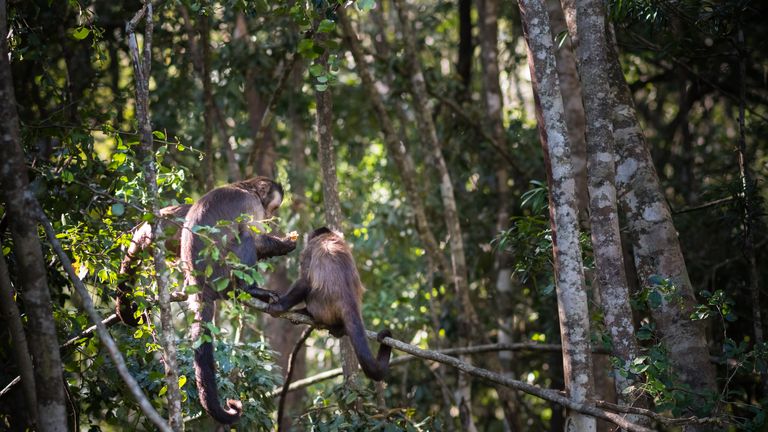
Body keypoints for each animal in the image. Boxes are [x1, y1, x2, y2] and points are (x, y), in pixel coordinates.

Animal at [181, 176, 297, 425]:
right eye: (272, 208)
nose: (270, 216)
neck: (245, 186)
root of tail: (200, 283)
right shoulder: (250, 203)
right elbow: (256, 237)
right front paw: (284, 244)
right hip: (222, 273)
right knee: (245, 236)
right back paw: (250, 290)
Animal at [266, 227, 392, 382]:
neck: (327, 236)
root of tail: (348, 301)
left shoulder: (309, 249)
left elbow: (305, 281)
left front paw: (279, 306)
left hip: (320, 308)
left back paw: (307, 313)